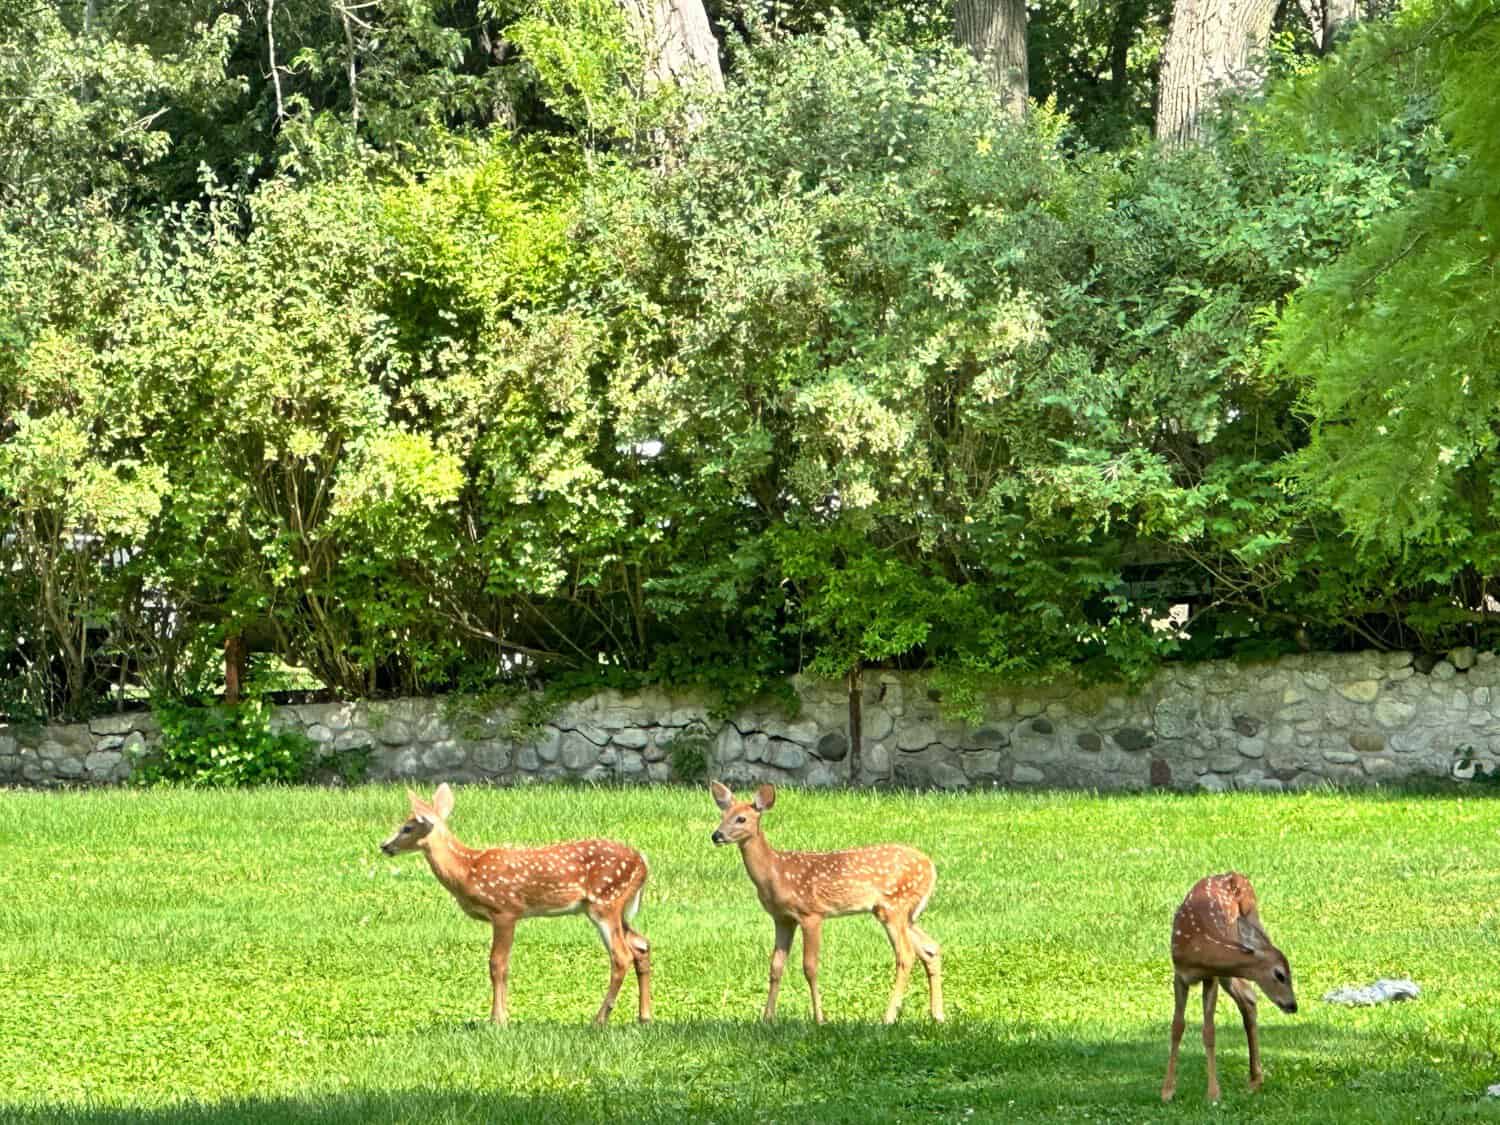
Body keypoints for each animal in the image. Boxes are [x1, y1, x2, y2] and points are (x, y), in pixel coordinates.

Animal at [379, 783, 652, 1026]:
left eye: (407, 827)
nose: (384, 846)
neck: (468, 870)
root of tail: (643, 863)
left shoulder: (505, 910)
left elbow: (497, 964)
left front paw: (498, 1020)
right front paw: (499, 1016)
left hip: (605, 901)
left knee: (621, 955)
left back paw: (600, 1019)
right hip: (613, 906)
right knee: (641, 945)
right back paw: (644, 1017)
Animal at [708, 781, 942, 1024]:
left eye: (741, 819)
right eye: (722, 815)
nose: (716, 835)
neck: (775, 872)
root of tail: (931, 866)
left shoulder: (811, 914)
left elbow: (810, 967)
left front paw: (819, 1019)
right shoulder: (782, 919)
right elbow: (776, 967)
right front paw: (767, 1018)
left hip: (895, 906)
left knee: (906, 955)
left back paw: (889, 1017)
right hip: (900, 912)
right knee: (931, 948)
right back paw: (937, 1015)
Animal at [1161, 872, 1298, 1103]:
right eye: (1280, 975)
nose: (1292, 1005)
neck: (1197, 948)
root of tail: (1235, 874)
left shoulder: (1211, 977)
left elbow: (1209, 1031)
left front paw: (1213, 1093)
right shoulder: (1179, 975)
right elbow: (1177, 1026)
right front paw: (1167, 1091)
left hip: (1249, 925)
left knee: (1248, 997)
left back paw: (1255, 1079)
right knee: (1249, 997)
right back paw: (1255, 1079)